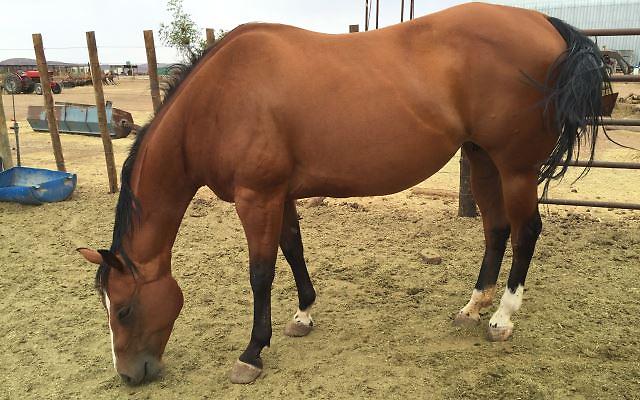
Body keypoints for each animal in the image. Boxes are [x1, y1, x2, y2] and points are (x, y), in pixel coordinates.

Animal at [78, 2, 609, 385]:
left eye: (123, 309)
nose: (129, 376)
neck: (219, 99)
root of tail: (544, 21)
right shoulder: (279, 195)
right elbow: (293, 249)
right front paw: (303, 315)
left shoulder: (256, 198)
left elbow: (260, 273)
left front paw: (252, 353)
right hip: (481, 158)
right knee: (496, 229)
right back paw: (473, 307)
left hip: (515, 167)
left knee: (525, 232)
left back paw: (502, 318)